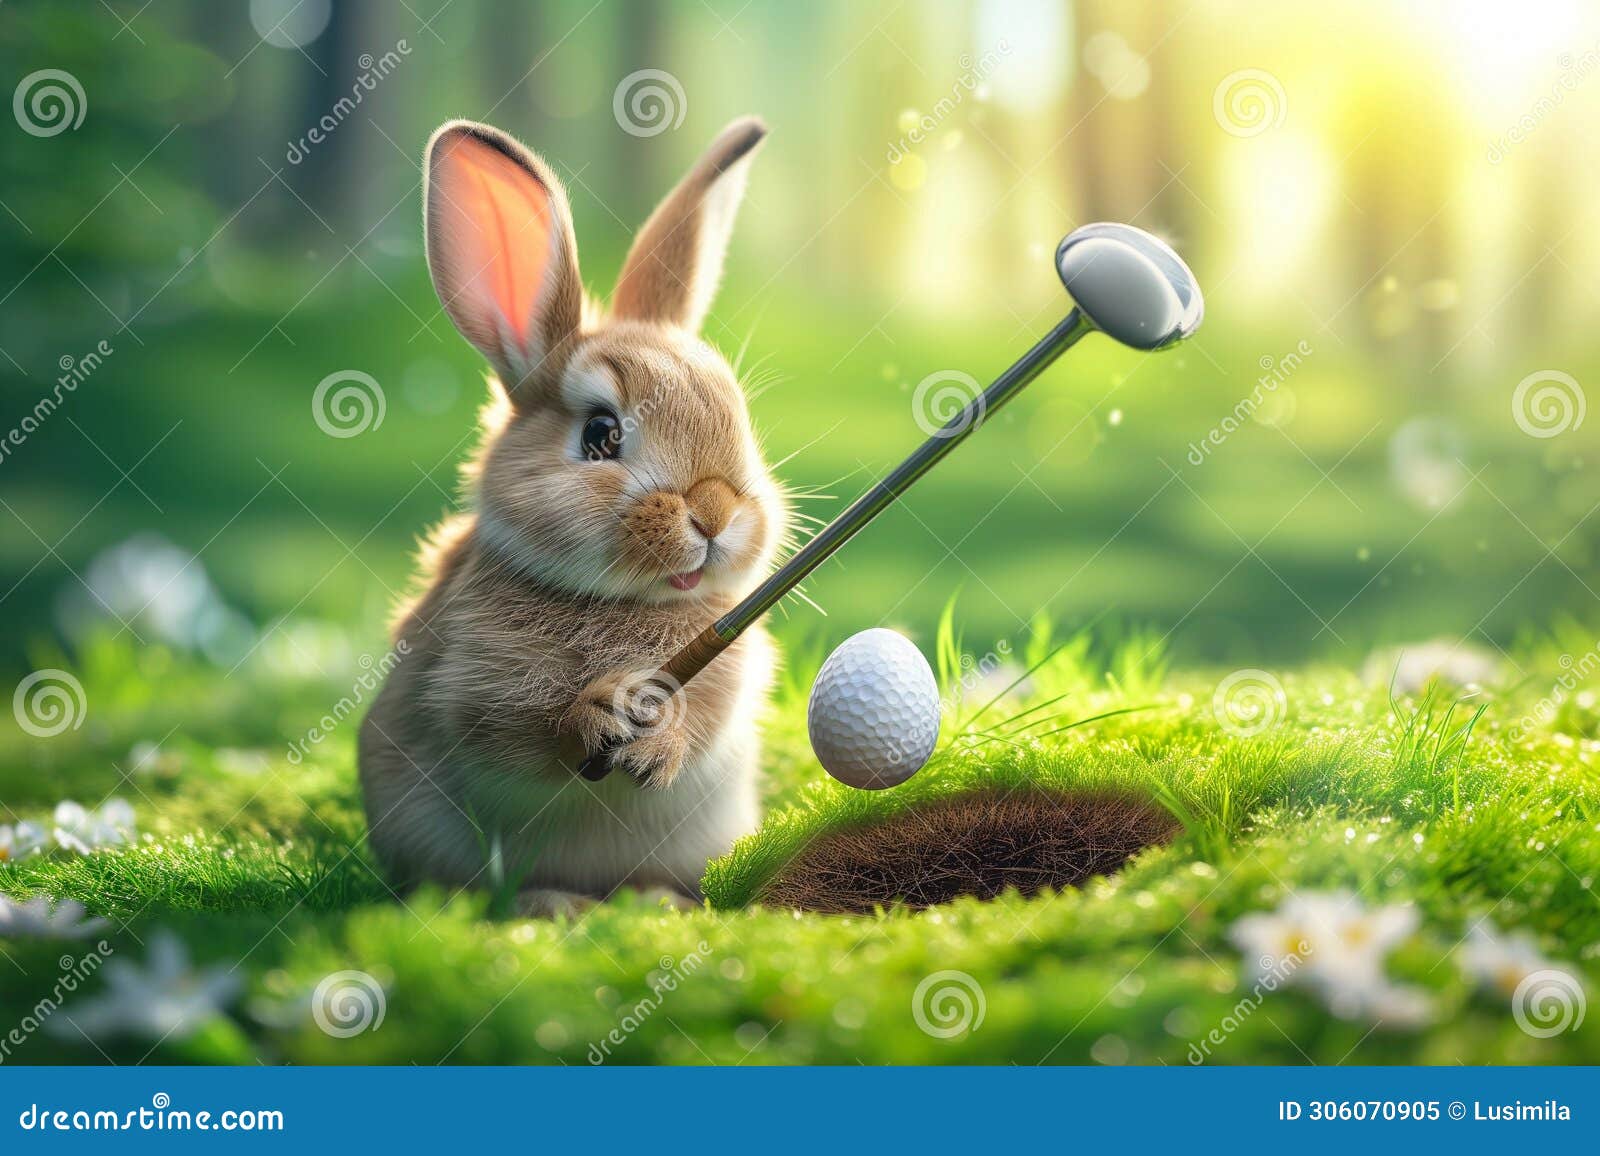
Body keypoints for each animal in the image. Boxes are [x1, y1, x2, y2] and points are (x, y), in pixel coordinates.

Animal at [358, 115, 784, 917]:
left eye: (739, 418)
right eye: (602, 435)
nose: (715, 513)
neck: (615, 600)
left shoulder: (725, 676)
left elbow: (702, 720)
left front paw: (656, 738)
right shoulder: (472, 689)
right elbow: (521, 734)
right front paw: (603, 714)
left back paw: (654, 904)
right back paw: (550, 905)